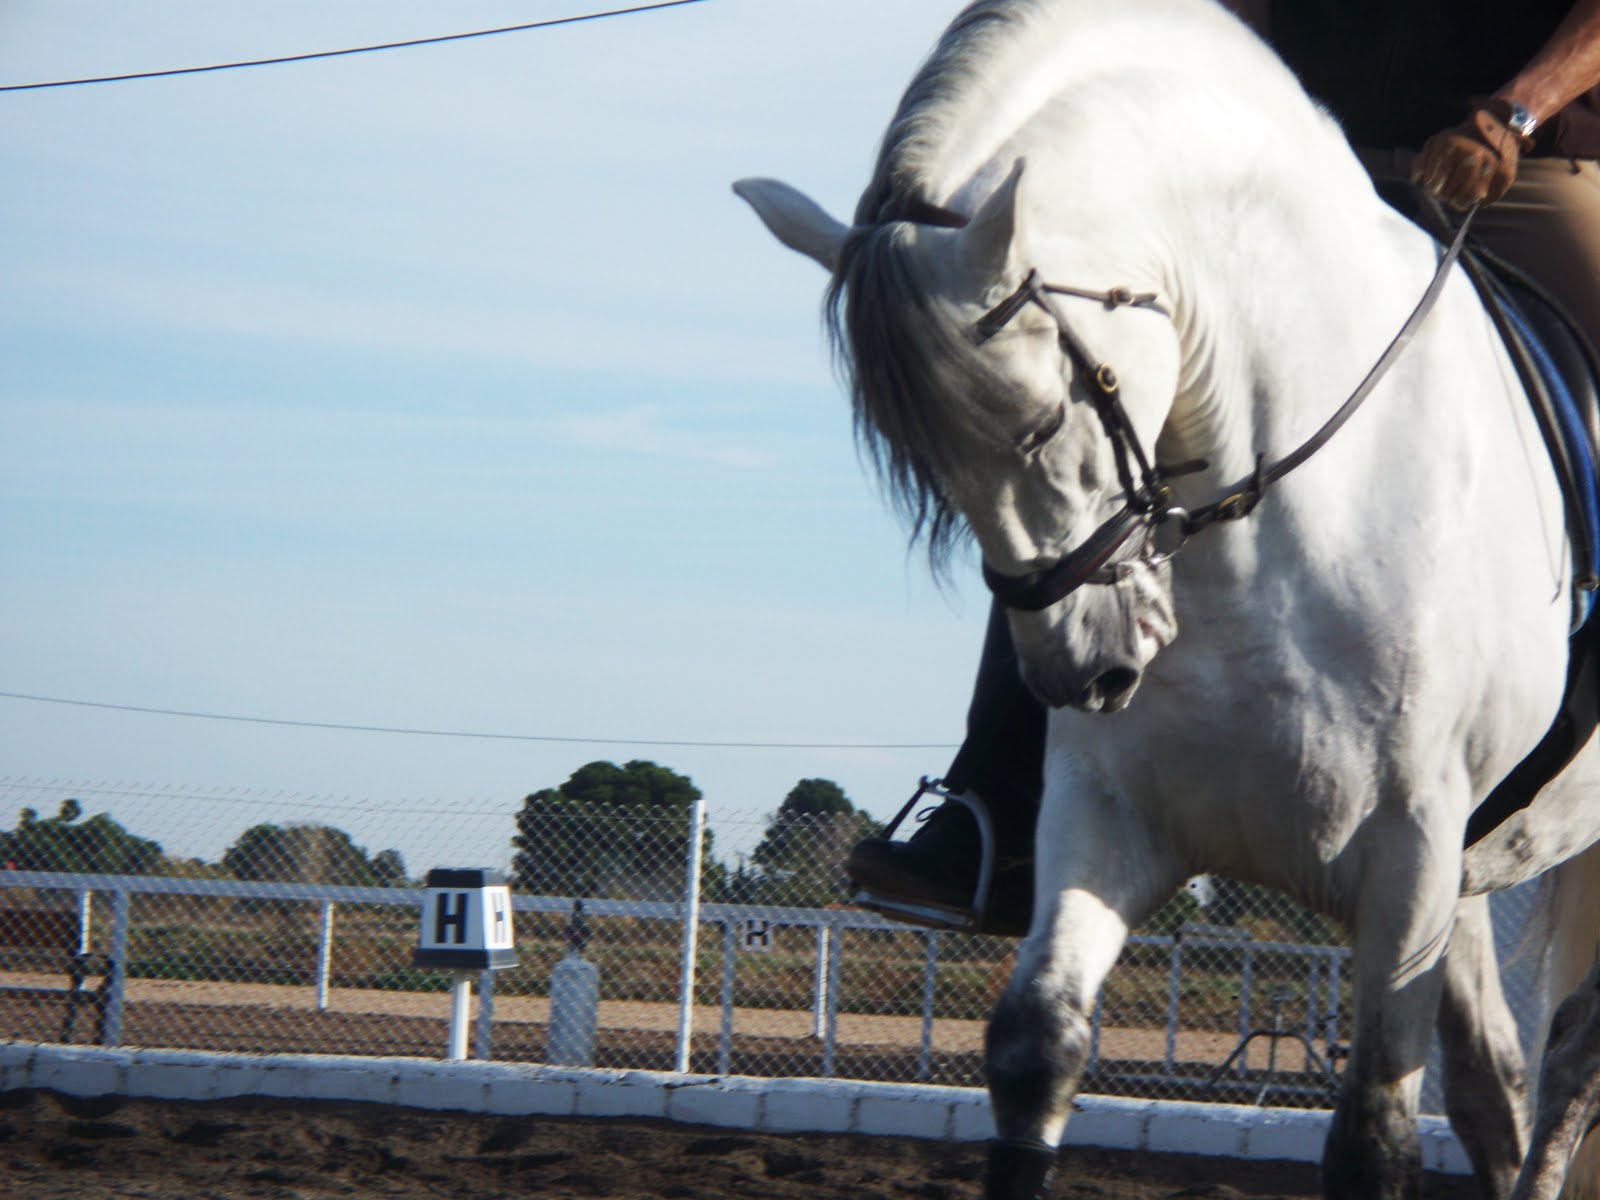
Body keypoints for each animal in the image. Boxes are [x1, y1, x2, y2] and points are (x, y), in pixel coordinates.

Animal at [733, 1, 1600, 1197]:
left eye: (1038, 421)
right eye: (926, 464)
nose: (1087, 672)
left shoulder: (1411, 854)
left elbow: (1372, 1136)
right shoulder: (1108, 818)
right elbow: (1034, 1053)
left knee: (1566, 1063)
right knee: (1502, 1089)